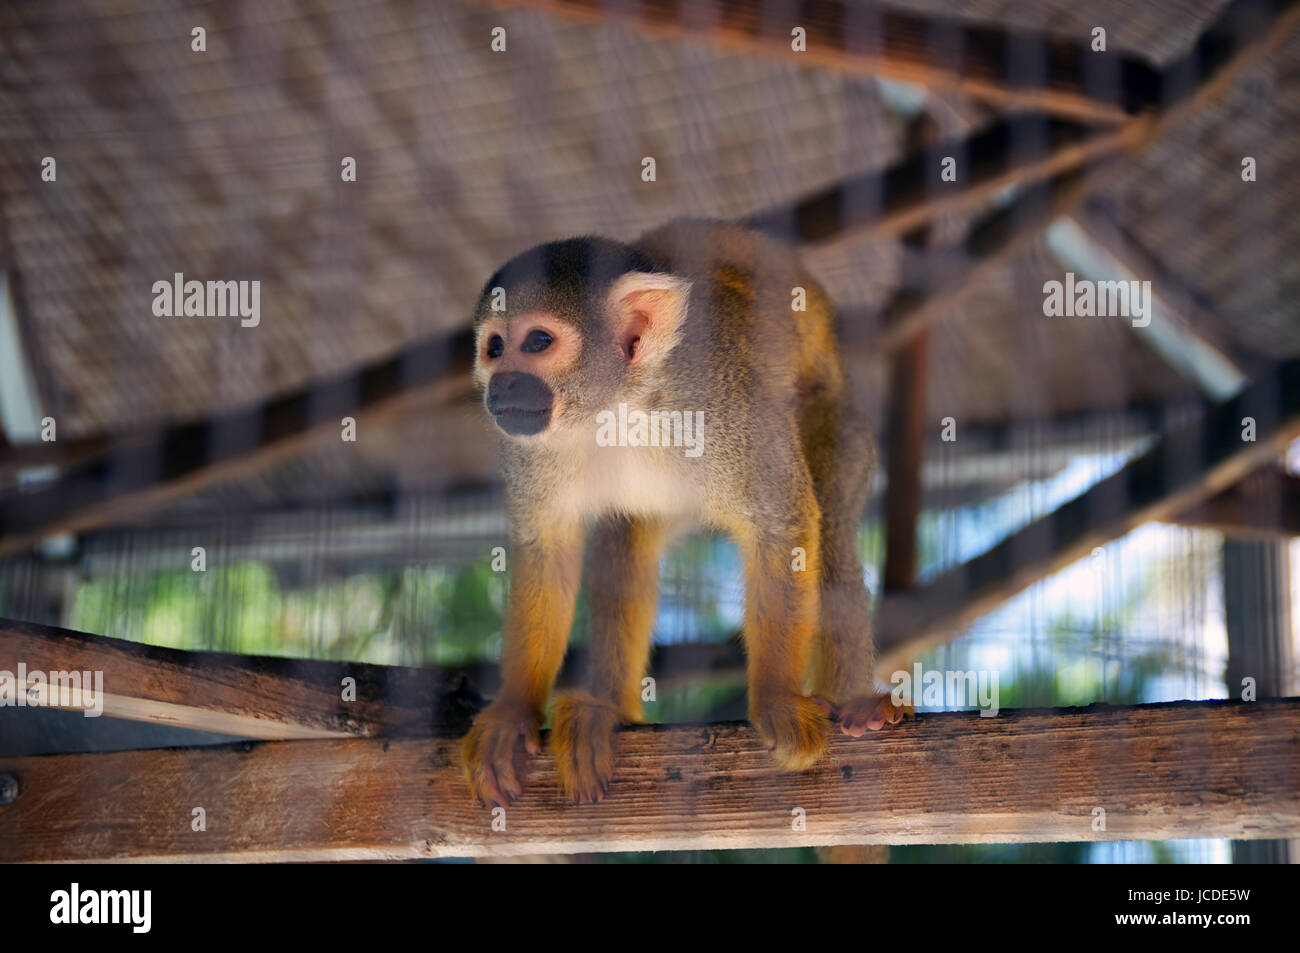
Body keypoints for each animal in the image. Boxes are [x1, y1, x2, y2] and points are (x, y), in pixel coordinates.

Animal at [460, 219, 904, 807]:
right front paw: (513, 713)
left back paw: (856, 704)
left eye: (537, 342)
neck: (619, 405)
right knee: (625, 540)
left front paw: (777, 699)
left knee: (828, 516)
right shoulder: (527, 448)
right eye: (493, 347)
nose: (503, 385)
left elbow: (782, 518)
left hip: (838, 421)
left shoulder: (721, 404)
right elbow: (546, 547)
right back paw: (608, 711)